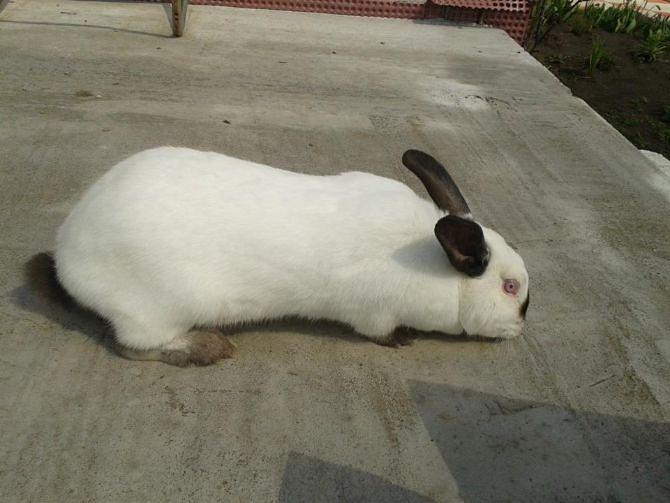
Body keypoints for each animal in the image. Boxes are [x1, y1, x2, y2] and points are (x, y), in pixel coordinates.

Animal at [25, 147, 529, 366]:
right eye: (510, 287)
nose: (521, 326)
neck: (429, 260)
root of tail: (68, 262)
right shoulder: (374, 314)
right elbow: (380, 333)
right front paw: (403, 341)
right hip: (157, 308)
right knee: (132, 346)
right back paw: (209, 348)